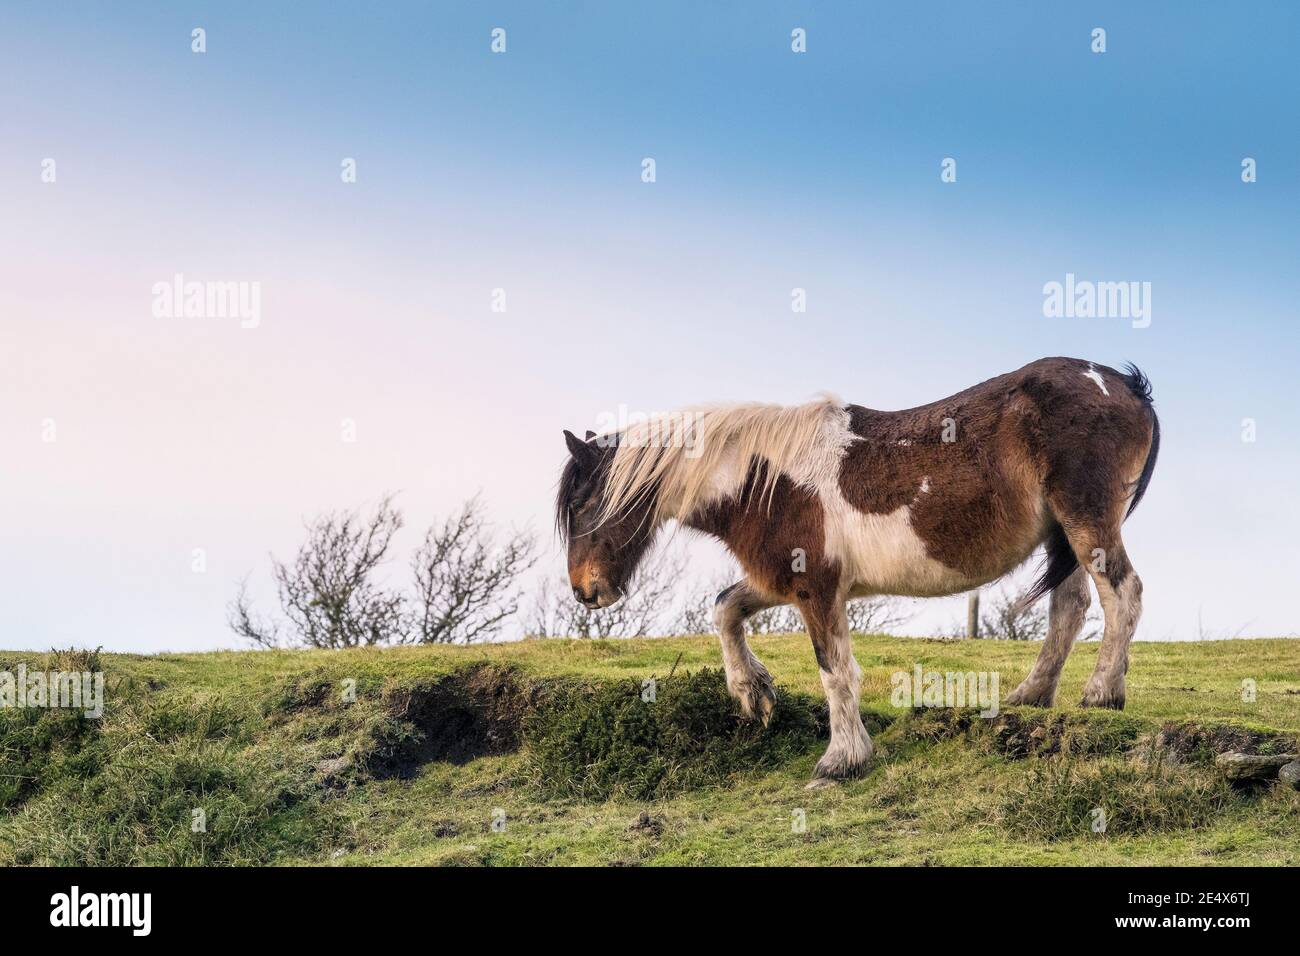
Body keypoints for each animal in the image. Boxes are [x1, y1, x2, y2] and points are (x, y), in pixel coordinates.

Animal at [555, 357, 1159, 787]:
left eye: (583, 505)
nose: (585, 592)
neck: (763, 481)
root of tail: (1124, 385)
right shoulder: (784, 580)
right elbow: (725, 607)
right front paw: (753, 695)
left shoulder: (816, 589)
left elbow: (834, 671)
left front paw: (841, 761)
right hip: (1063, 534)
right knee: (1071, 607)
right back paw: (1030, 696)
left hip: (1084, 519)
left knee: (1123, 594)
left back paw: (1102, 694)